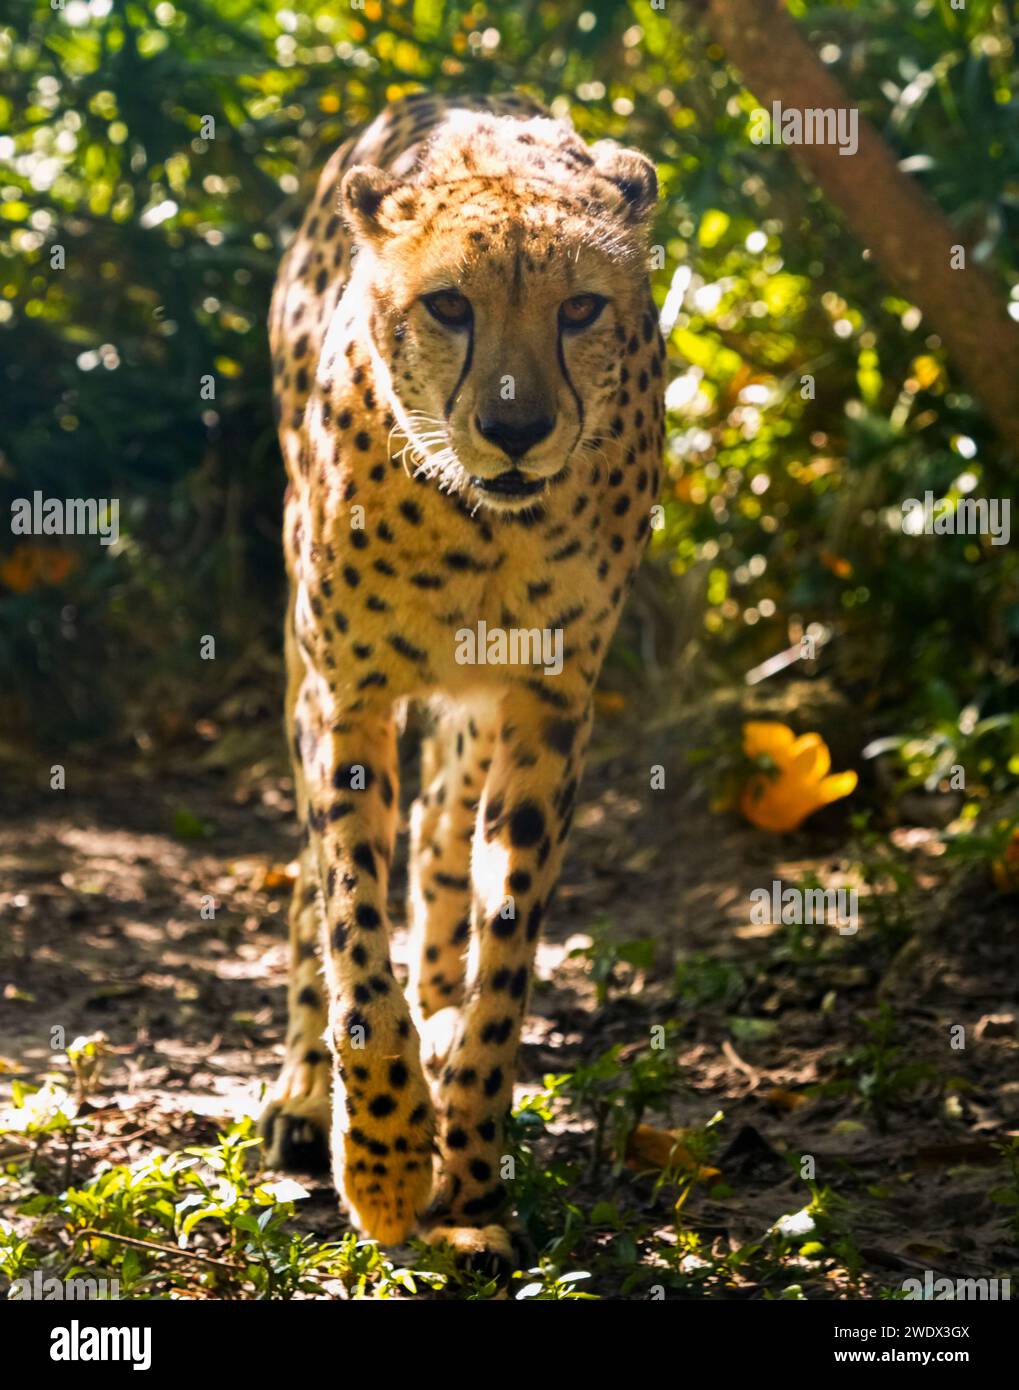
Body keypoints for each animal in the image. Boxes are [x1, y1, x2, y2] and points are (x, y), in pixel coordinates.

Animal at [262, 89, 665, 1269]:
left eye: (580, 308)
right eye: (447, 305)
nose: (516, 428)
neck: (481, 523)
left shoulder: (547, 707)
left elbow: (504, 952)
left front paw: (471, 1186)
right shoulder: (346, 697)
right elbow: (352, 919)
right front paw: (387, 1160)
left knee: (443, 831)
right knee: (315, 881)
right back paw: (303, 1088)